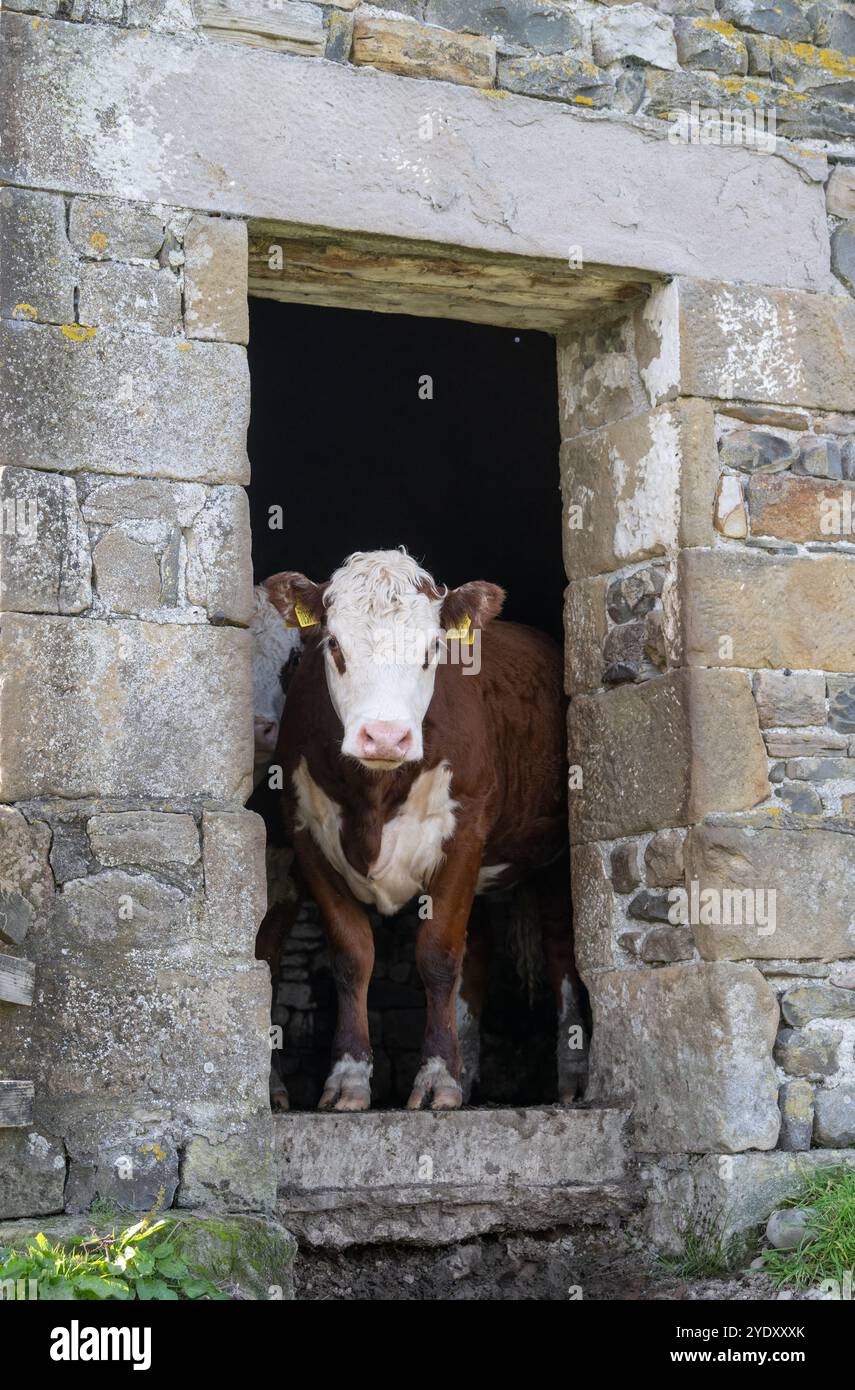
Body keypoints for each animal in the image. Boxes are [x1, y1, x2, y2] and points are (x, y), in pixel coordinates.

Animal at [265, 548, 587, 1112]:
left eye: (433, 647)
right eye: (333, 644)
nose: (384, 736)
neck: (373, 797)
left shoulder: (464, 831)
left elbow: (437, 955)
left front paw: (437, 1077)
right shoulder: (305, 834)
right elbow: (352, 955)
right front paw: (349, 1077)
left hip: (552, 857)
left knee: (560, 952)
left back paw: (567, 1081)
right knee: (477, 956)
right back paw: (470, 1070)